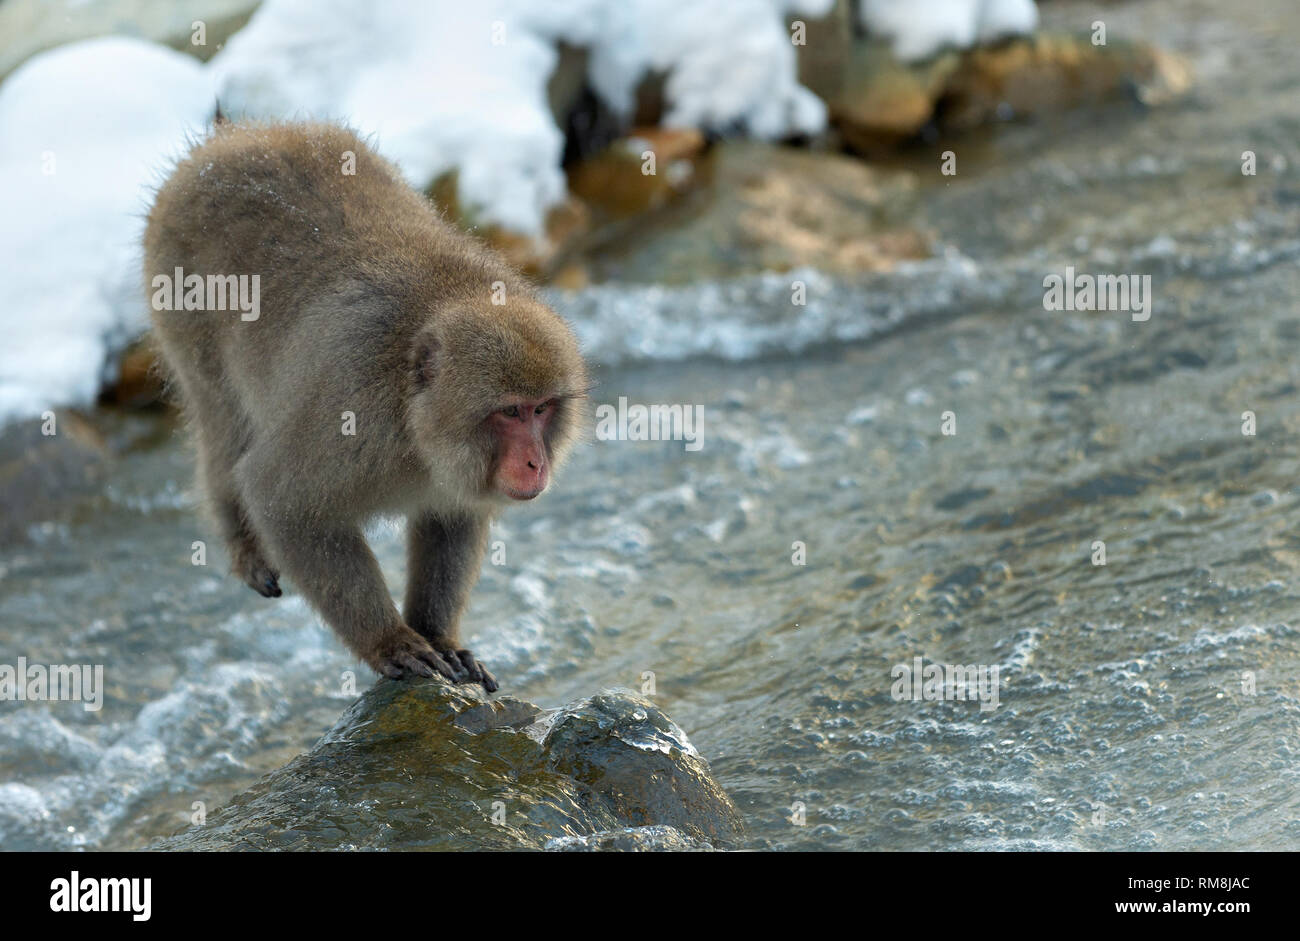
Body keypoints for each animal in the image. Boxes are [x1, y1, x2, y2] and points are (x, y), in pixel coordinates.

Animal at [143, 120, 589, 692]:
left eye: (542, 409)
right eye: (509, 412)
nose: (537, 461)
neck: (412, 420)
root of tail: (235, 136)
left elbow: (452, 519)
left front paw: (439, 636)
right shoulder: (348, 415)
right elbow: (283, 500)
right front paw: (390, 641)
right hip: (179, 296)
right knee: (223, 421)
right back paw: (242, 541)